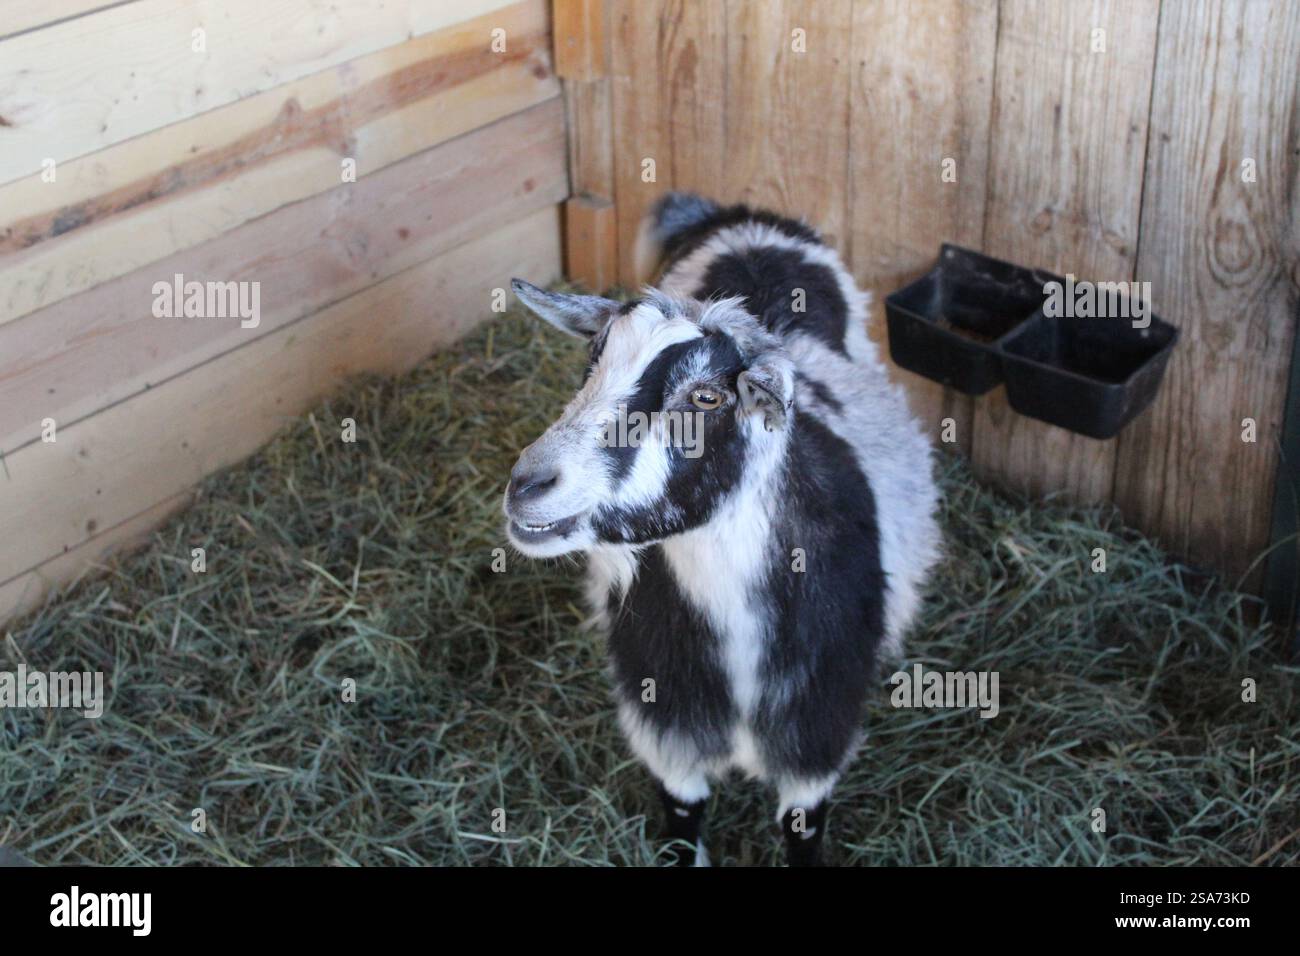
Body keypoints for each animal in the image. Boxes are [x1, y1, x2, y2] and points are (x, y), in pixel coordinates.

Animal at [505, 193, 941, 866]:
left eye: (706, 398)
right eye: (590, 366)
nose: (528, 485)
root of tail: (744, 215)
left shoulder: (817, 728)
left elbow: (802, 827)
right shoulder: (667, 720)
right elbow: (683, 819)